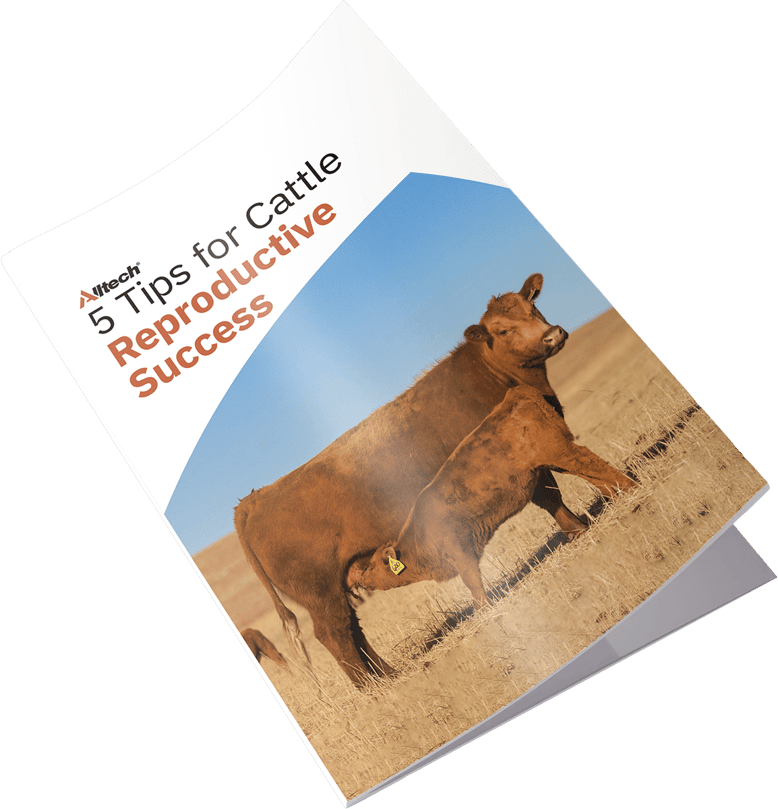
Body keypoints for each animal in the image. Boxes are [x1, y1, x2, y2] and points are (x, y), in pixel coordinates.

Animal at [236, 274, 603, 687]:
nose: (552, 336)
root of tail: (252, 501)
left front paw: (578, 527)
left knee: (352, 628)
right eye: (502, 329)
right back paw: (373, 687)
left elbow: (551, 493)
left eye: (532, 307)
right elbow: (548, 494)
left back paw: (388, 673)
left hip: (340, 583)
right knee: (334, 632)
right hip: (320, 591)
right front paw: (576, 529)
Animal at [358, 386, 636, 607]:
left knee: (590, 464)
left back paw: (630, 487)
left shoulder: (460, 550)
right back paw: (608, 503)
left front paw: (483, 609)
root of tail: (513, 396)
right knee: (581, 481)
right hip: (550, 465)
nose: (361, 580)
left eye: (372, 565)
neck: (419, 534)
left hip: (561, 453)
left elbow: (472, 580)